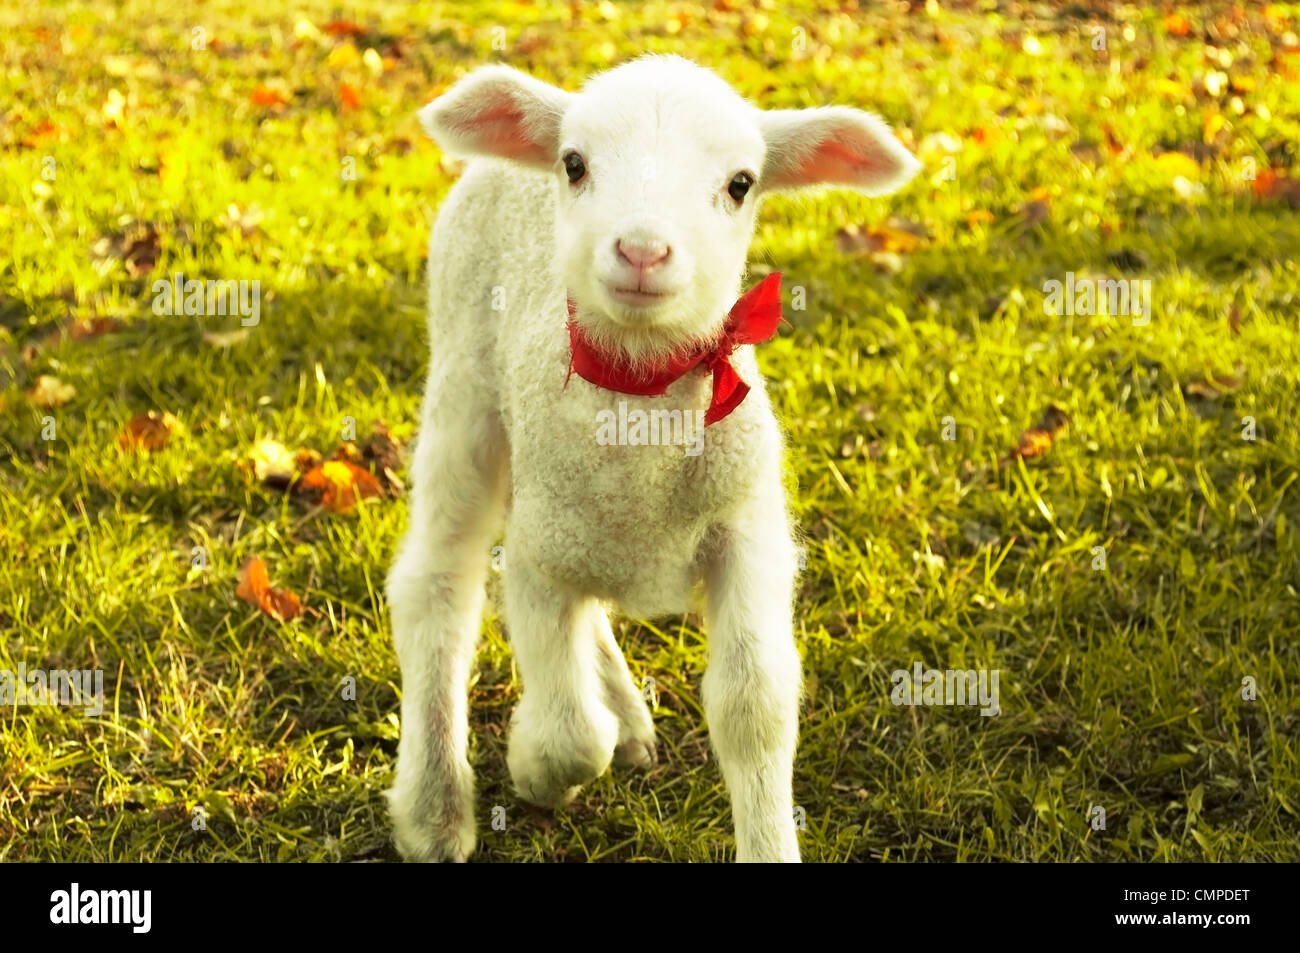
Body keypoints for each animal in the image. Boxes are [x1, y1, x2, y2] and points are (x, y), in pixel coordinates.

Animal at [386, 54, 919, 863]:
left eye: (741, 183)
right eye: (574, 164)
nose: (642, 251)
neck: (637, 398)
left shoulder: (746, 531)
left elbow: (755, 704)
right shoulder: (538, 555)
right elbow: (572, 735)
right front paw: (536, 767)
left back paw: (625, 711)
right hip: (464, 388)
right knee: (438, 582)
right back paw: (434, 807)